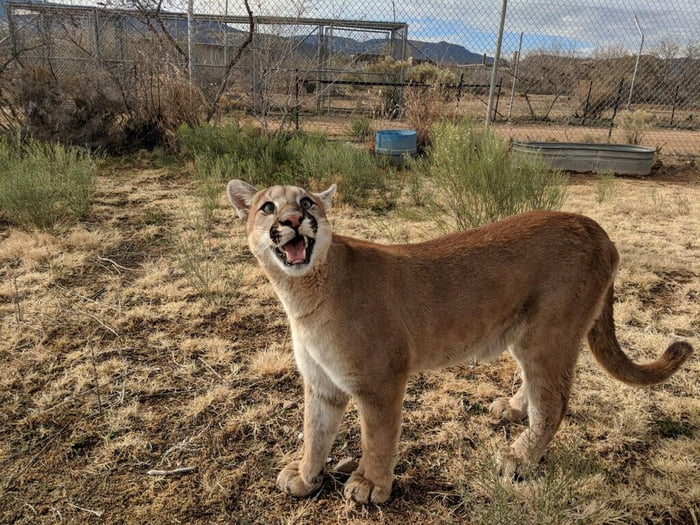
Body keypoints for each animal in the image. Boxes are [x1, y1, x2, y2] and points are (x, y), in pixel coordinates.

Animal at [227, 180, 693, 504]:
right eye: (268, 207)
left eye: (307, 203)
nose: (290, 221)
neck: (302, 292)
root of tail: (594, 225)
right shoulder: (321, 382)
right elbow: (315, 431)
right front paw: (306, 477)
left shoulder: (380, 381)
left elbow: (377, 437)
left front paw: (370, 484)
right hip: (528, 335)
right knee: (541, 388)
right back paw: (515, 409)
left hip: (548, 333)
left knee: (556, 402)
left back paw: (519, 458)